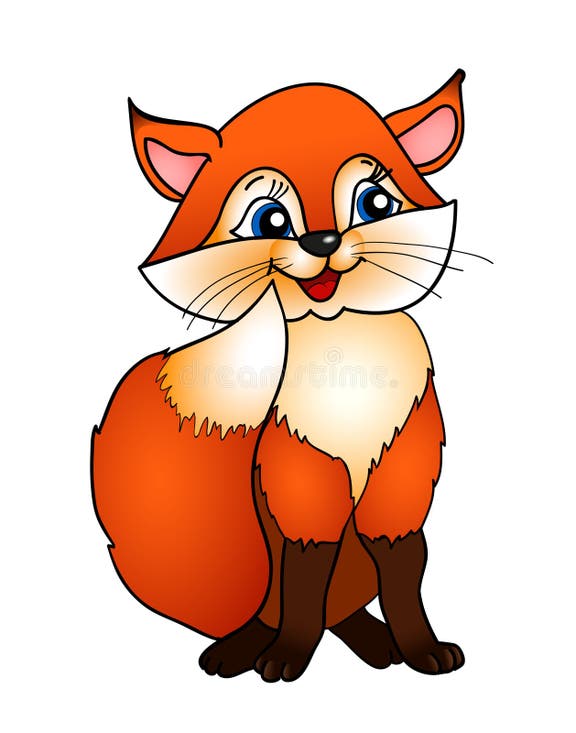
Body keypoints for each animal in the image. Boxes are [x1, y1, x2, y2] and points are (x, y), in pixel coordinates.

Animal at [92, 71, 468, 682]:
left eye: (374, 203)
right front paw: (288, 654)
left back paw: (374, 642)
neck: (341, 363)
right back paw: (241, 648)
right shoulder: (300, 485)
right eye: (269, 220)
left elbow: (405, 577)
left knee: (342, 610)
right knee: (279, 607)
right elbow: (303, 582)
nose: (323, 241)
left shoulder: (401, 485)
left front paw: (421, 648)